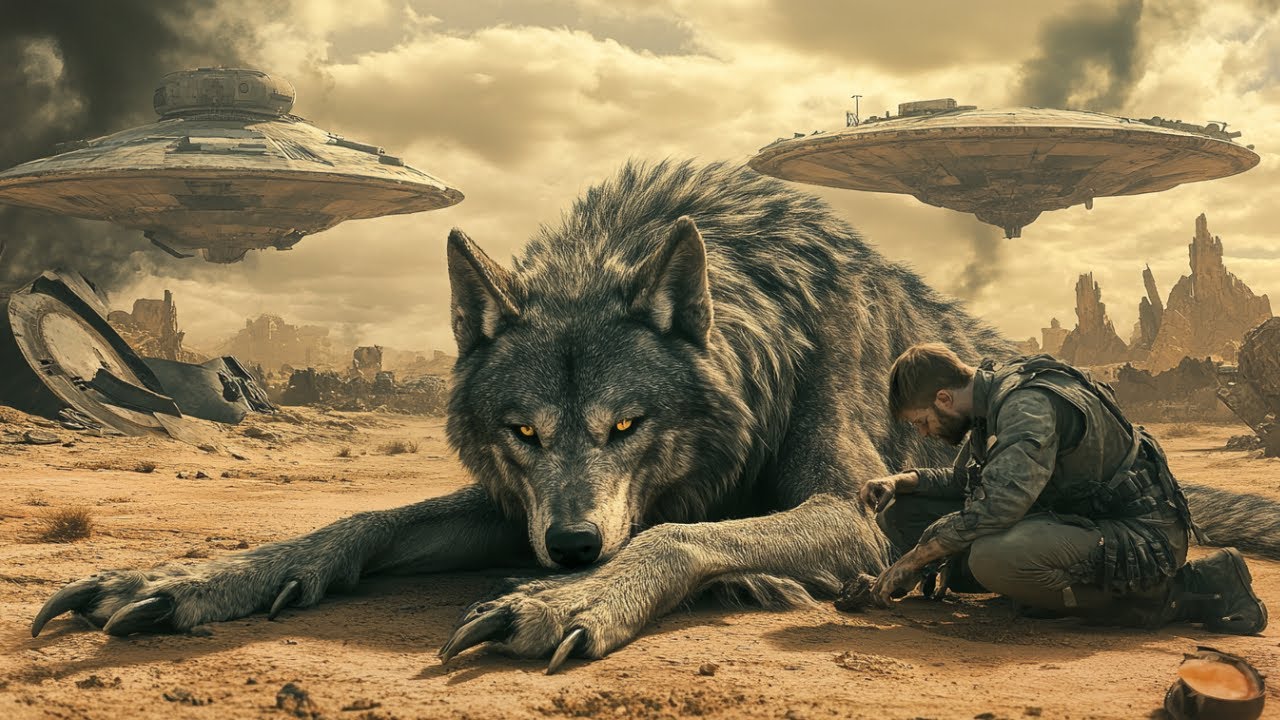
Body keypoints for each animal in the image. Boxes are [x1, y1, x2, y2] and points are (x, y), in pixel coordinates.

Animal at [32, 161, 1280, 671]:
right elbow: (356, 524)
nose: (573, 546)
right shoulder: (515, 504)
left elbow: (681, 535)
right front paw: (196, 580)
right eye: (524, 434)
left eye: (626, 426)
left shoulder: (850, 513)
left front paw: (568, 603)